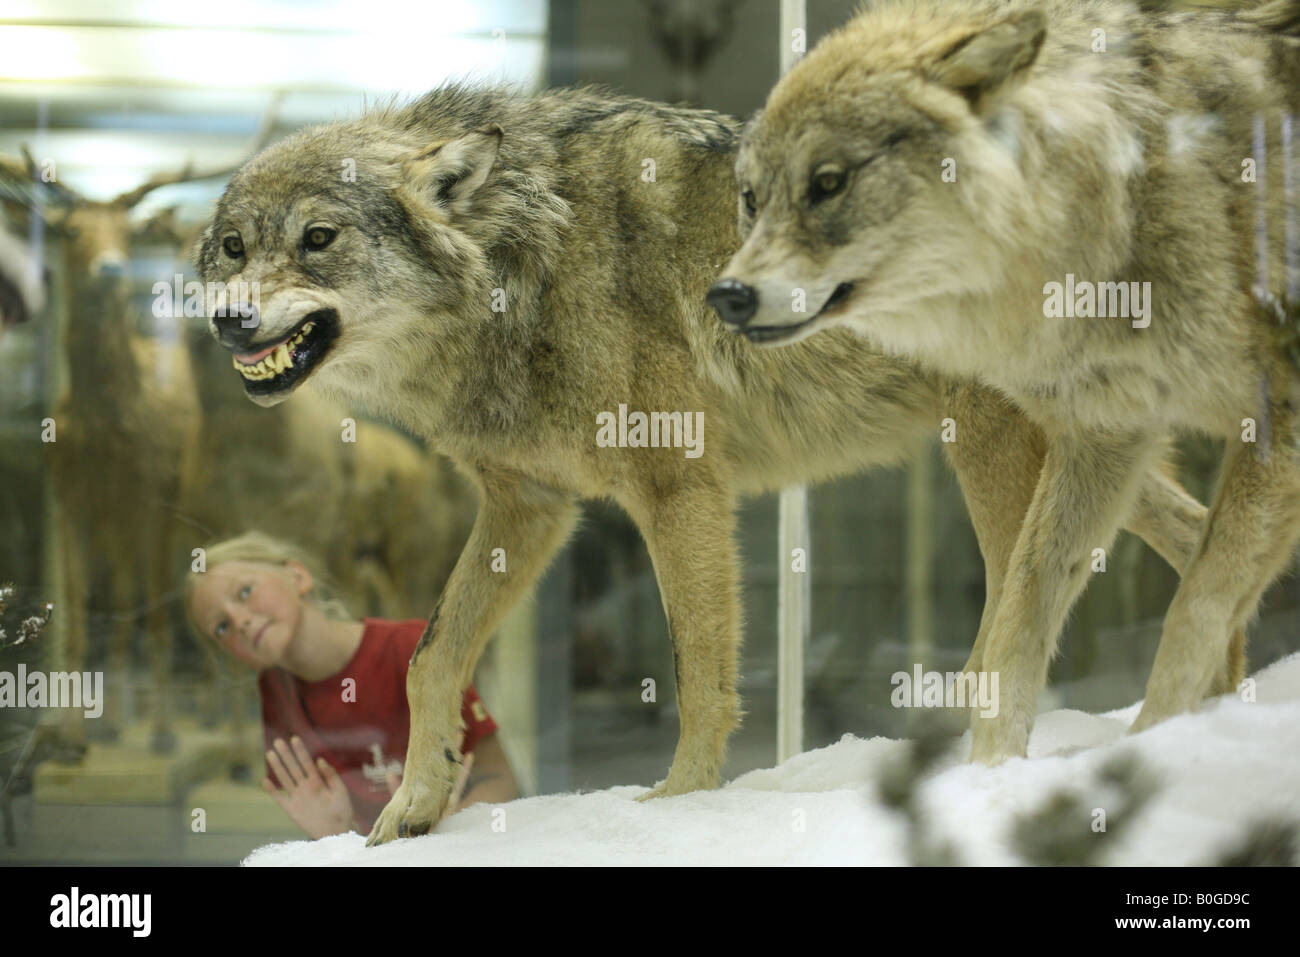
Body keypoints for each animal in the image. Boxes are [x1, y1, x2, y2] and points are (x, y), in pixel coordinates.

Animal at [195, 83, 1229, 842]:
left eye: (319, 239)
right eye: (234, 246)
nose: (228, 320)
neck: (525, 259)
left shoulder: (676, 481)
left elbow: (696, 669)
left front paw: (679, 803)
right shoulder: (532, 506)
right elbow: (428, 654)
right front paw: (414, 806)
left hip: (990, 444)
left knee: (1023, 614)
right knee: (1197, 544)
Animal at [712, 0, 1300, 764]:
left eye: (829, 182)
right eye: (752, 199)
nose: (726, 296)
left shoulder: (1276, 423)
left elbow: (1196, 605)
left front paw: (1153, 745)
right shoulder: (1101, 436)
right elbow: (1025, 608)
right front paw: (991, 771)